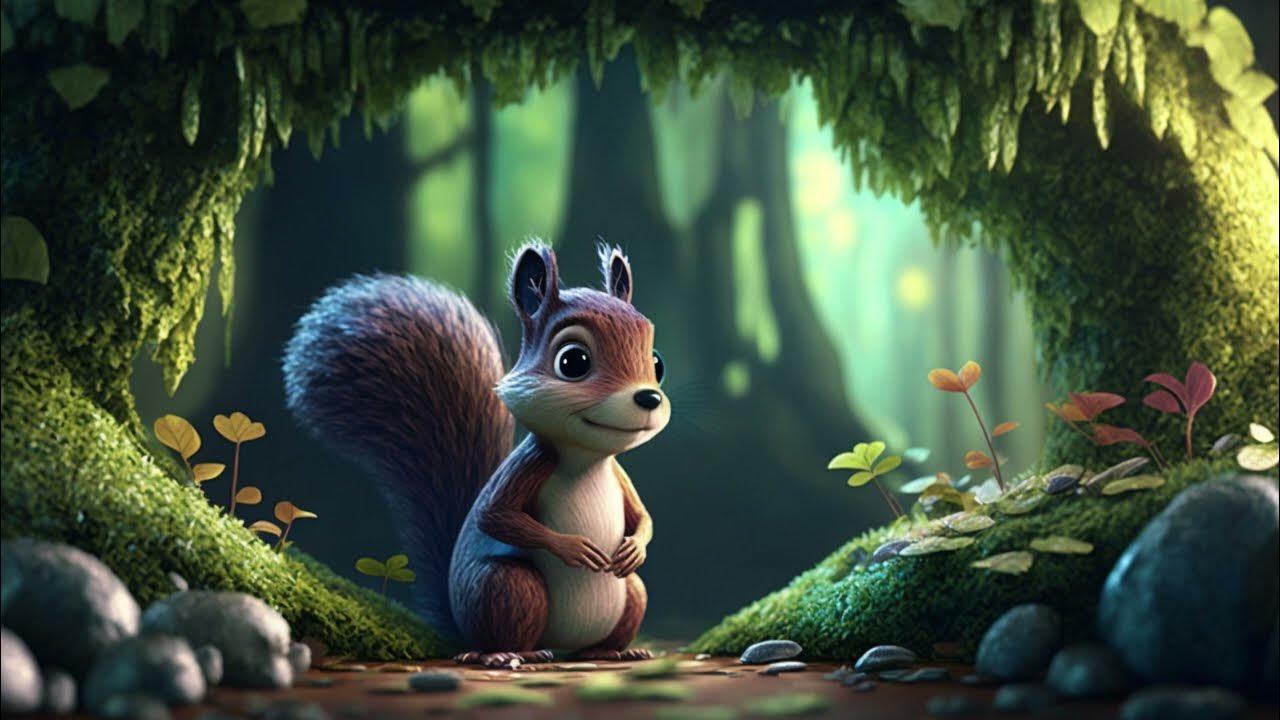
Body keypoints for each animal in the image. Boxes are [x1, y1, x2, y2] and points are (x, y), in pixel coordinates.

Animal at [283, 241, 669, 667]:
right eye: (572, 361)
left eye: (656, 363)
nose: (649, 398)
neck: (586, 459)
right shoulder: (530, 465)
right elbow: (494, 516)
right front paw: (573, 546)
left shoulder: (619, 475)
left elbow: (643, 516)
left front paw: (636, 546)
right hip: (506, 587)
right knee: (501, 627)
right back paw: (505, 653)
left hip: (629, 593)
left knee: (619, 608)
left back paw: (615, 650)